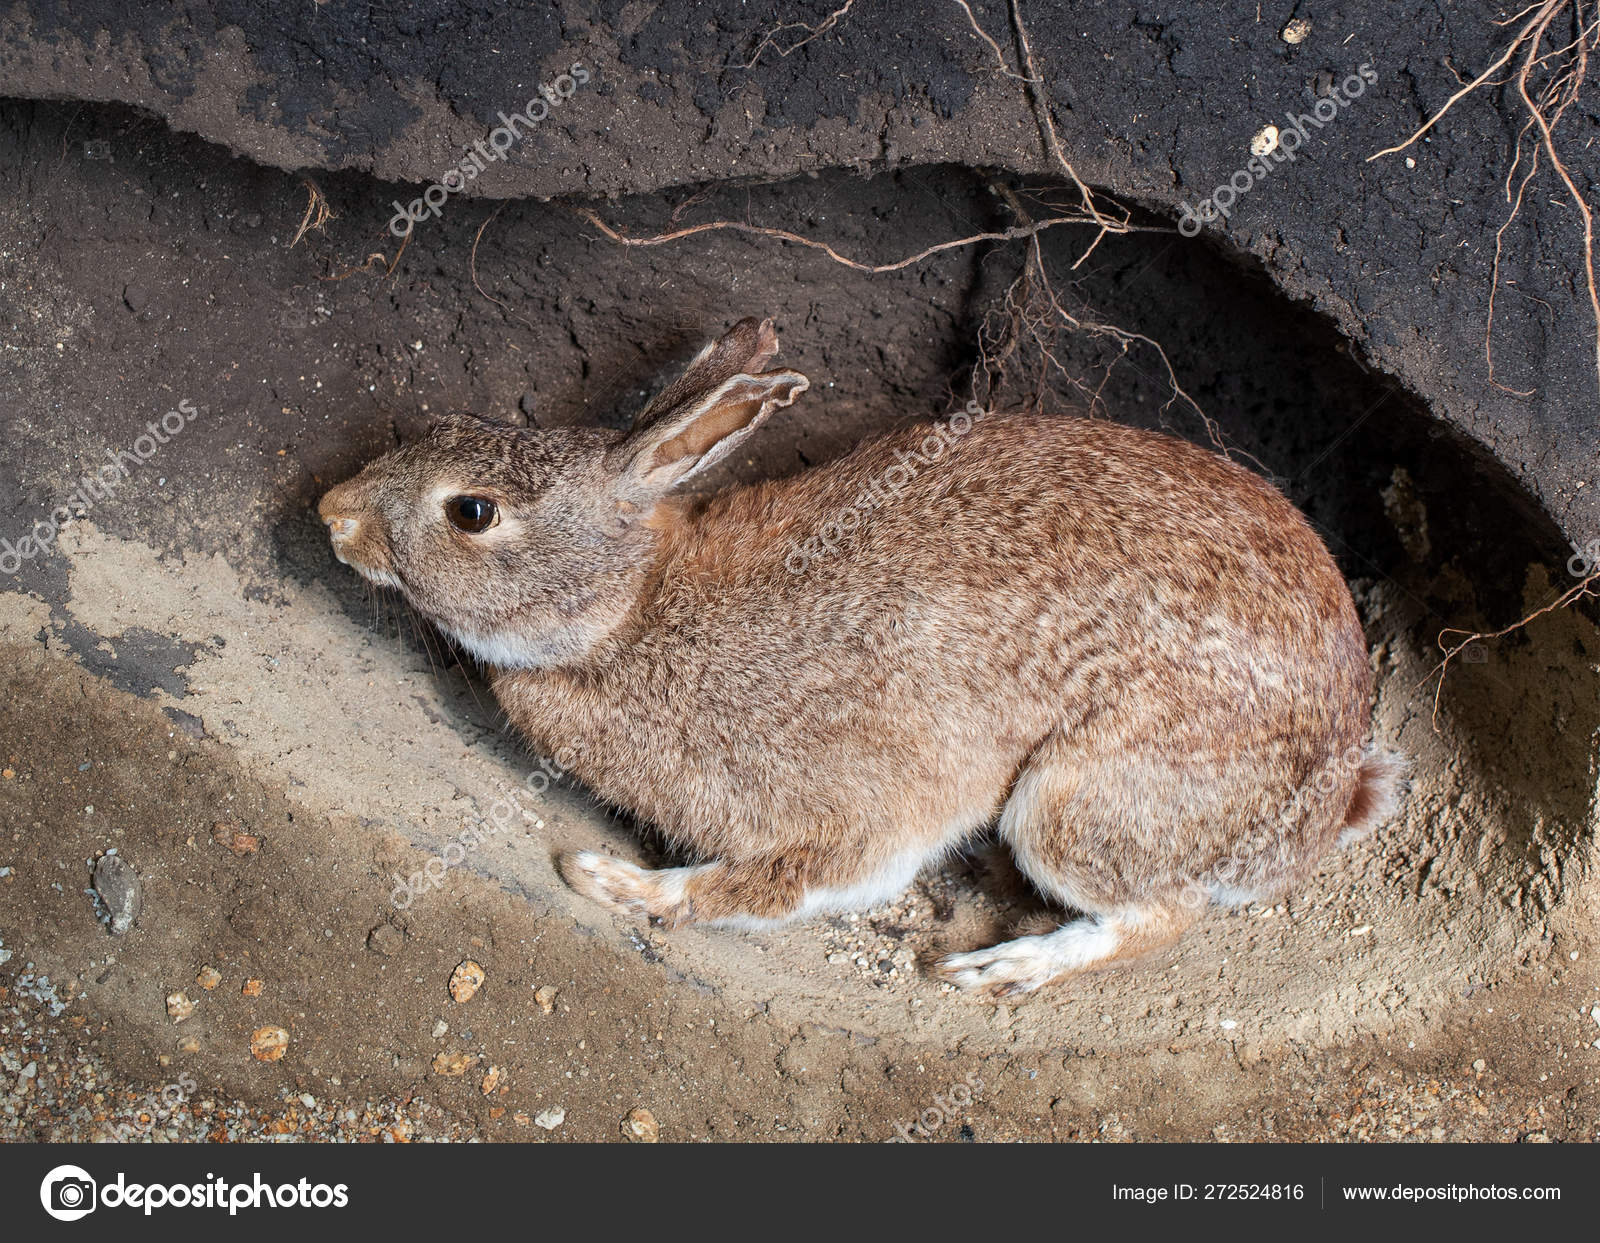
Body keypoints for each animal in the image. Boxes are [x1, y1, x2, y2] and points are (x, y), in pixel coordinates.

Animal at [318, 316, 1406, 996]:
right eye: (448, 426)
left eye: (471, 512)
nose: (332, 514)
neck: (627, 612)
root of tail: (1331, 793)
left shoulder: (856, 812)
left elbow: (779, 884)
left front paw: (618, 884)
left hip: (1078, 801)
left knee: (1158, 913)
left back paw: (1004, 968)